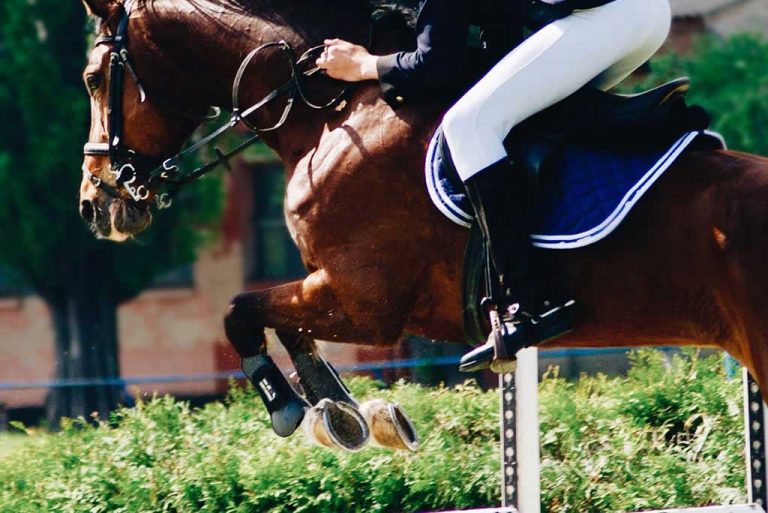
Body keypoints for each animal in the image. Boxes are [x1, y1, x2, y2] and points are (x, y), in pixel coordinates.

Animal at [79, 0, 768, 452]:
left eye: (90, 79)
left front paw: (292, 408)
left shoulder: (367, 302)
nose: (96, 203)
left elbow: (240, 312)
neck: (331, 110)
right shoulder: (338, 291)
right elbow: (281, 323)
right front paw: (342, 409)